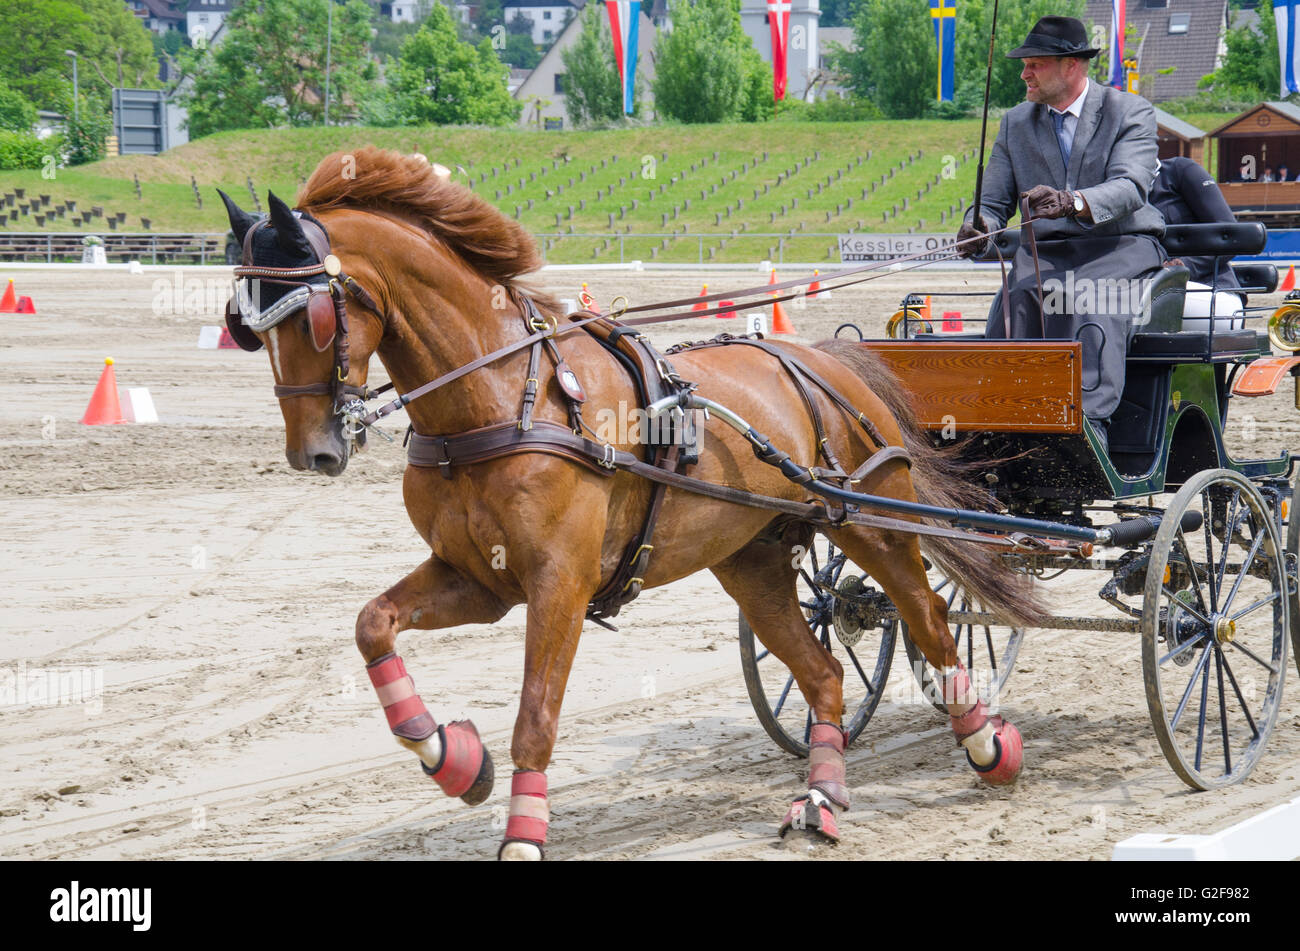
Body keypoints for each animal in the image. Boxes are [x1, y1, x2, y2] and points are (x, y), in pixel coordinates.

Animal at [219, 146, 1040, 859]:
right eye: (246, 325)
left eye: (309, 315)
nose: (314, 451)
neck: (503, 394)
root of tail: (821, 356)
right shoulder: (480, 579)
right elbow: (373, 626)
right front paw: (450, 757)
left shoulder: (558, 584)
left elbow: (536, 716)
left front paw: (523, 835)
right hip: (753, 561)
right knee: (825, 674)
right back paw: (820, 798)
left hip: (874, 524)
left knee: (930, 621)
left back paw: (986, 744)